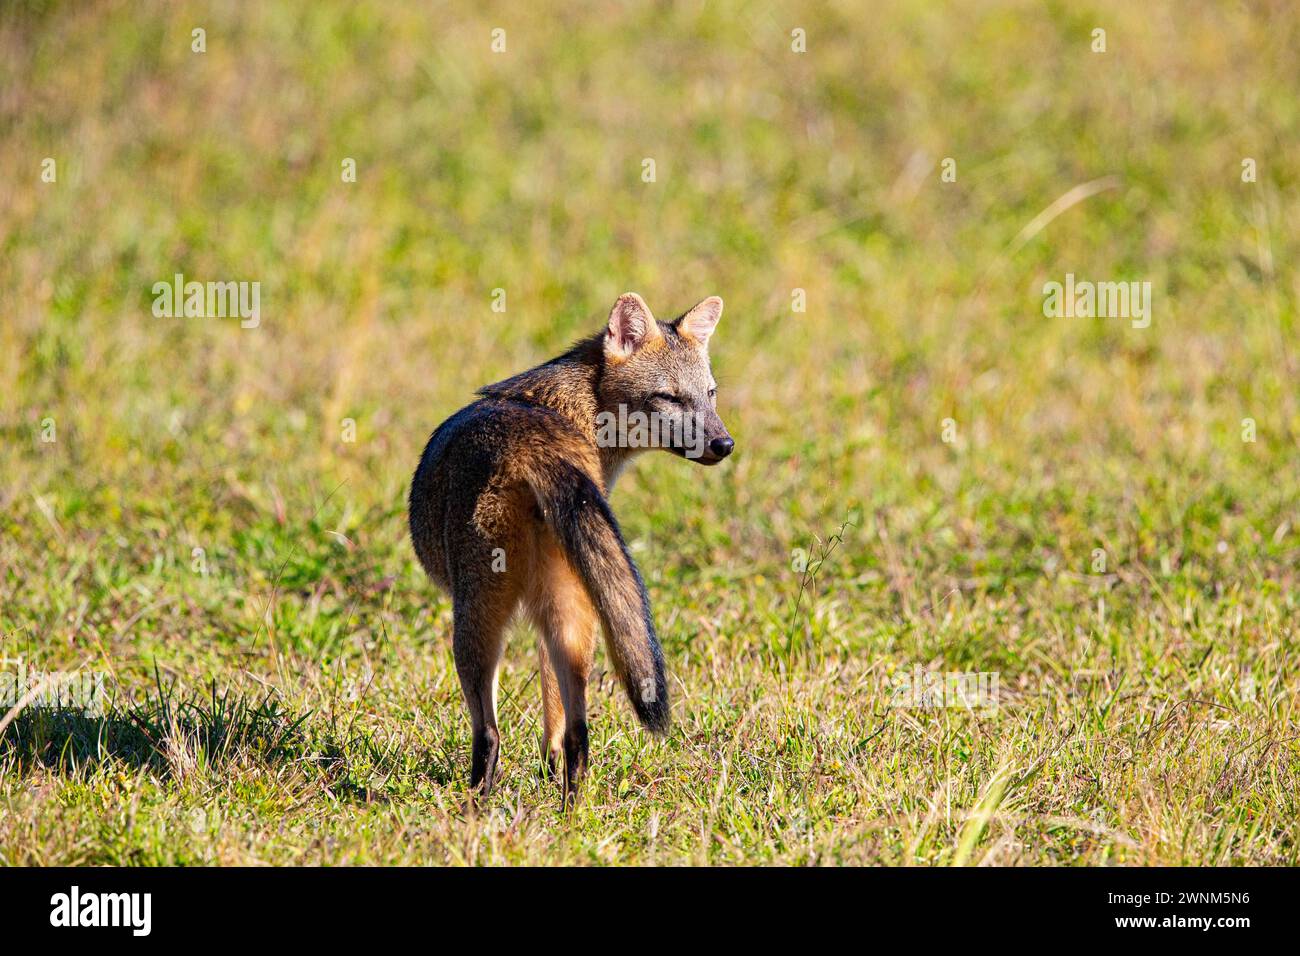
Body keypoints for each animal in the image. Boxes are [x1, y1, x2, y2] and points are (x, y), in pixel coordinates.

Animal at [408, 292, 734, 801]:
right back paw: (570, 809)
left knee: (490, 732)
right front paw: (548, 770)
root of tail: (532, 445)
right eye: (671, 397)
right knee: (579, 731)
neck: (566, 409)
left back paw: (476, 806)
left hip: (475, 619)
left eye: (710, 394)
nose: (725, 444)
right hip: (573, 614)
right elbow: (554, 719)